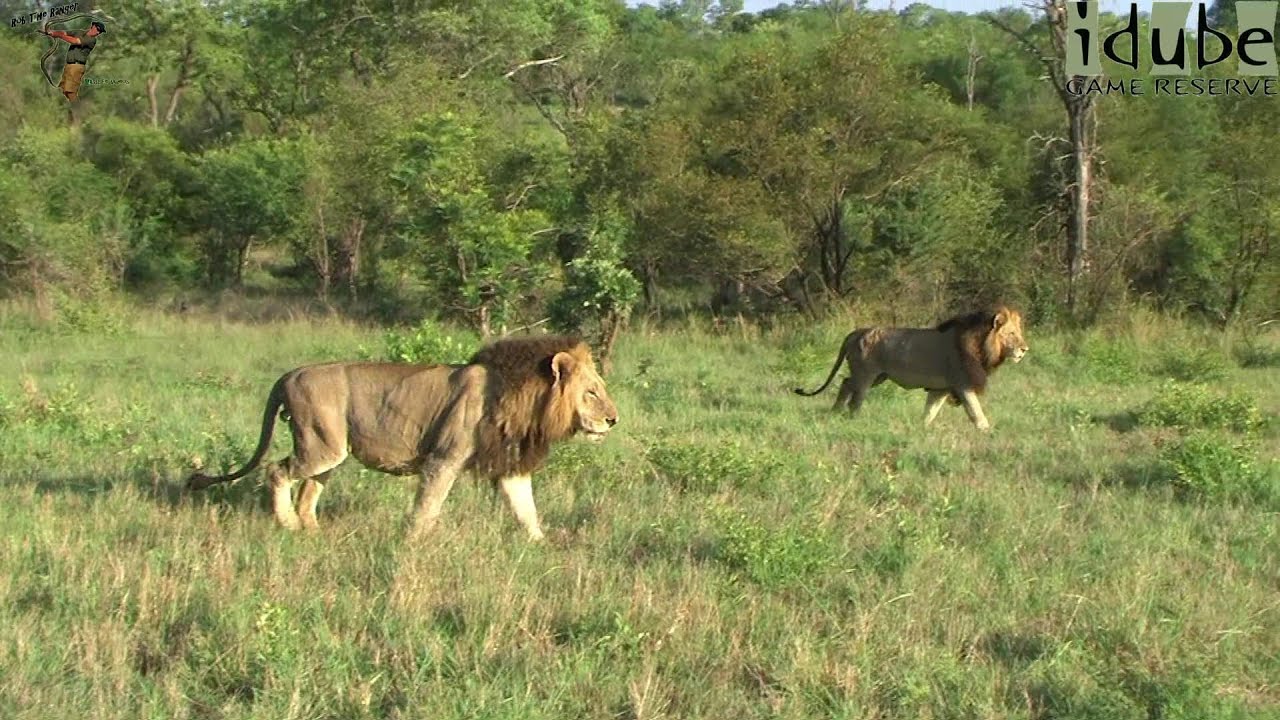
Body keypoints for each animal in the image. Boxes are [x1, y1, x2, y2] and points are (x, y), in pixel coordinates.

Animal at [186, 334, 619, 541]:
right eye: (592, 392)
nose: (613, 419)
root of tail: (290, 373)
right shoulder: (444, 457)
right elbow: (427, 506)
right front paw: (412, 543)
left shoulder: (509, 466)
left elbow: (526, 510)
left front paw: (541, 545)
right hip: (319, 445)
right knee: (277, 472)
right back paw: (289, 525)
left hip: (329, 448)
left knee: (309, 490)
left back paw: (313, 531)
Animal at [793, 306, 1027, 430]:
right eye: (1011, 334)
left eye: (1018, 333)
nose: (1025, 349)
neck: (981, 346)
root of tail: (857, 332)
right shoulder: (963, 384)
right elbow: (976, 412)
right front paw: (987, 432)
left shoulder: (940, 388)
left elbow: (930, 411)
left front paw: (922, 429)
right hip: (866, 374)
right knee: (855, 396)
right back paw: (853, 417)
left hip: (877, 376)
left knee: (845, 383)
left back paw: (835, 412)